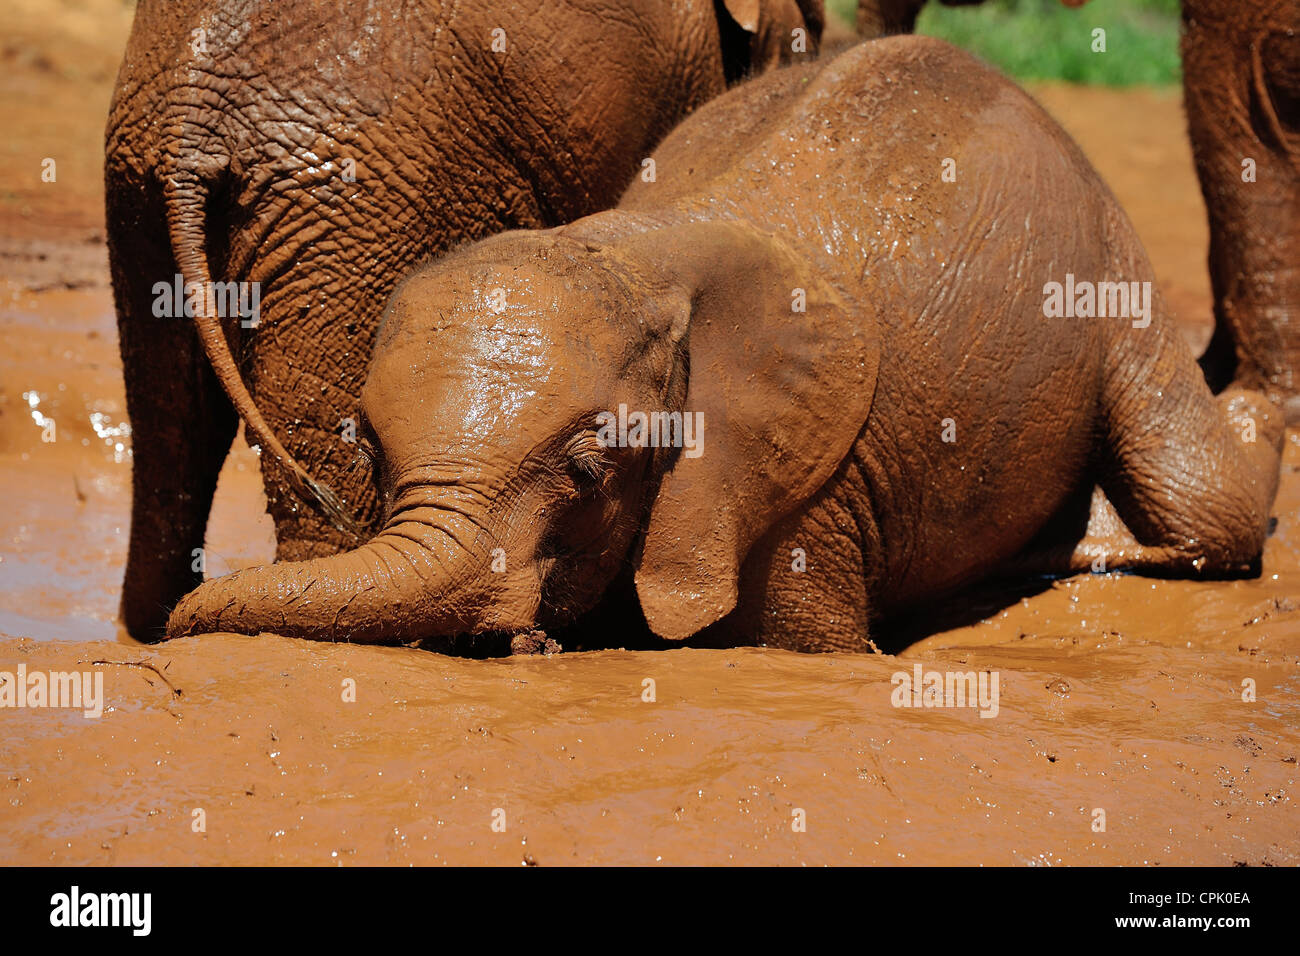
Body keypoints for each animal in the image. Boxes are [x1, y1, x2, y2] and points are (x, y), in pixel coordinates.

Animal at [166, 36, 1282, 653]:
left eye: (590, 472)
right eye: (373, 454)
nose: (177, 622)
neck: (641, 253)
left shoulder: (805, 477)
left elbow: (800, 645)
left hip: (1112, 265)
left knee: (1205, 506)